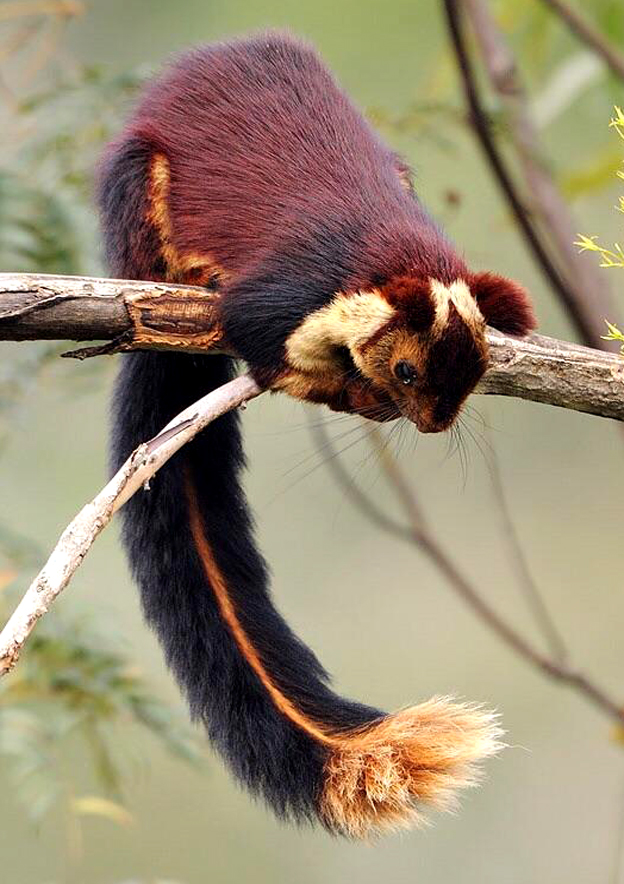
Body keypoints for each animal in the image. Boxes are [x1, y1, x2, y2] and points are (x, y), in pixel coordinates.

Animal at [97, 32, 535, 838]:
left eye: (477, 374)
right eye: (405, 369)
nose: (431, 423)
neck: (396, 257)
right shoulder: (282, 298)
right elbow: (270, 351)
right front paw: (351, 392)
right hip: (138, 189)